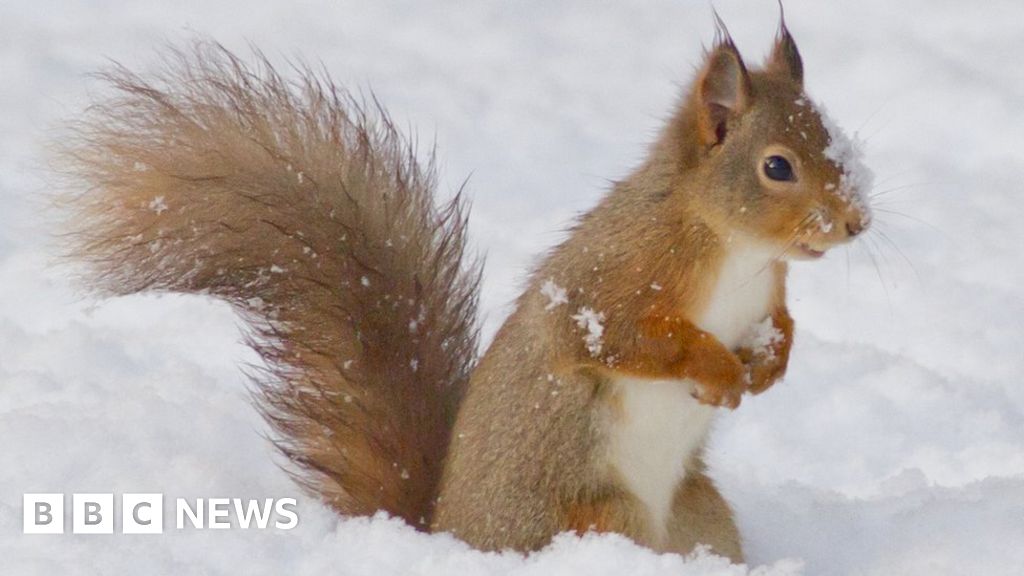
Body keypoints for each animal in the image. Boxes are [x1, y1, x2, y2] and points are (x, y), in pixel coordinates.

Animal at [58, 14, 870, 563]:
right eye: (776, 167)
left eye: (836, 139)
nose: (856, 222)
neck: (737, 250)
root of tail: (446, 535)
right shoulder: (614, 282)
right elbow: (629, 337)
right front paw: (718, 369)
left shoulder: (767, 292)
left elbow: (781, 326)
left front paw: (770, 364)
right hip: (603, 516)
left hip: (703, 517)